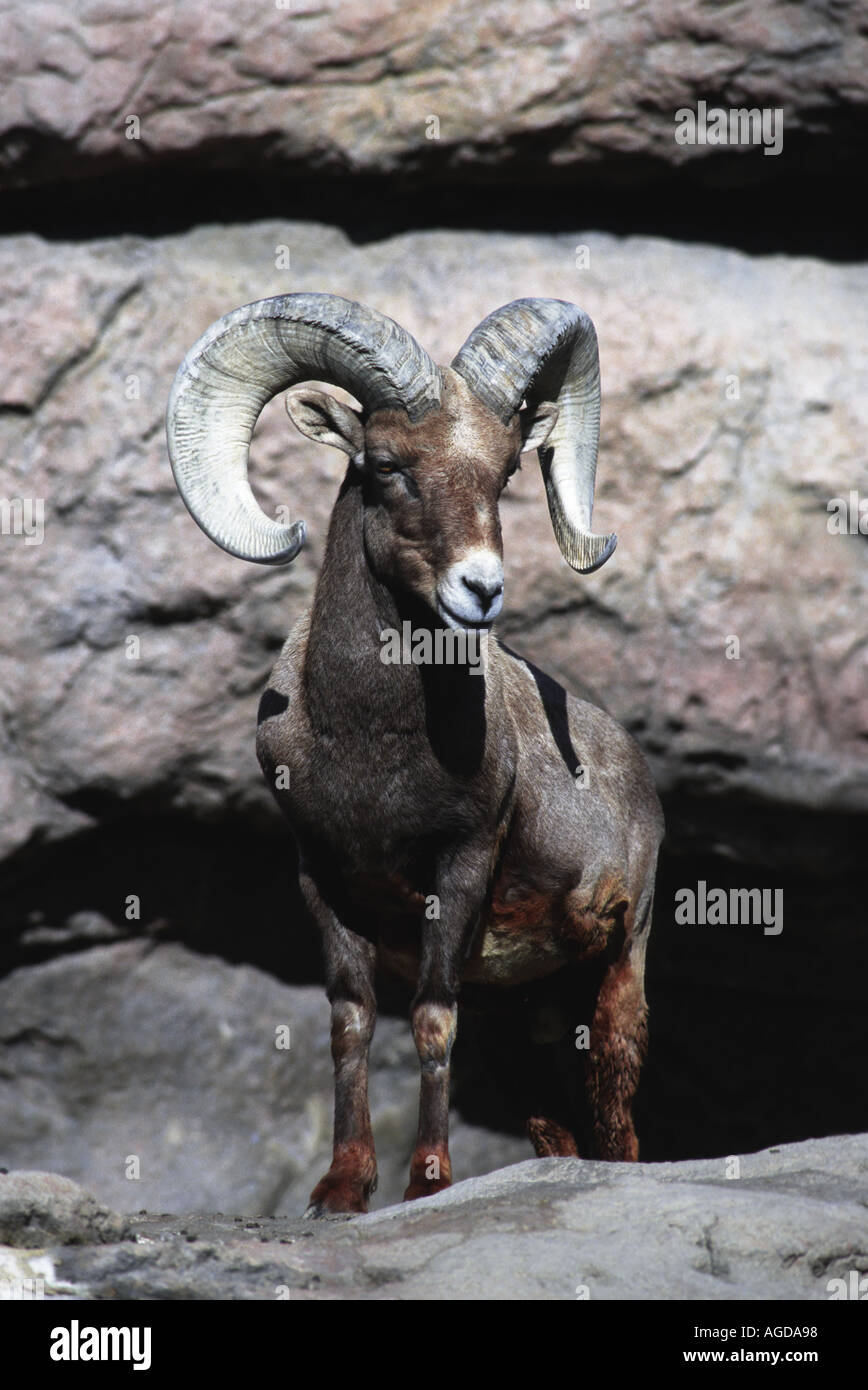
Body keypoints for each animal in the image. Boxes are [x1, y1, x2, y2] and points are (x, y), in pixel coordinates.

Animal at [166, 293, 664, 1215]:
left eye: (506, 471)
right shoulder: (321, 878)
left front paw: (427, 1178)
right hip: (517, 1011)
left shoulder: (458, 868)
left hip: (620, 969)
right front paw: (342, 1189)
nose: (481, 589)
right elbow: (351, 1022)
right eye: (387, 463)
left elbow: (431, 1019)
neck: (370, 748)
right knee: (553, 1125)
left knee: (617, 1116)